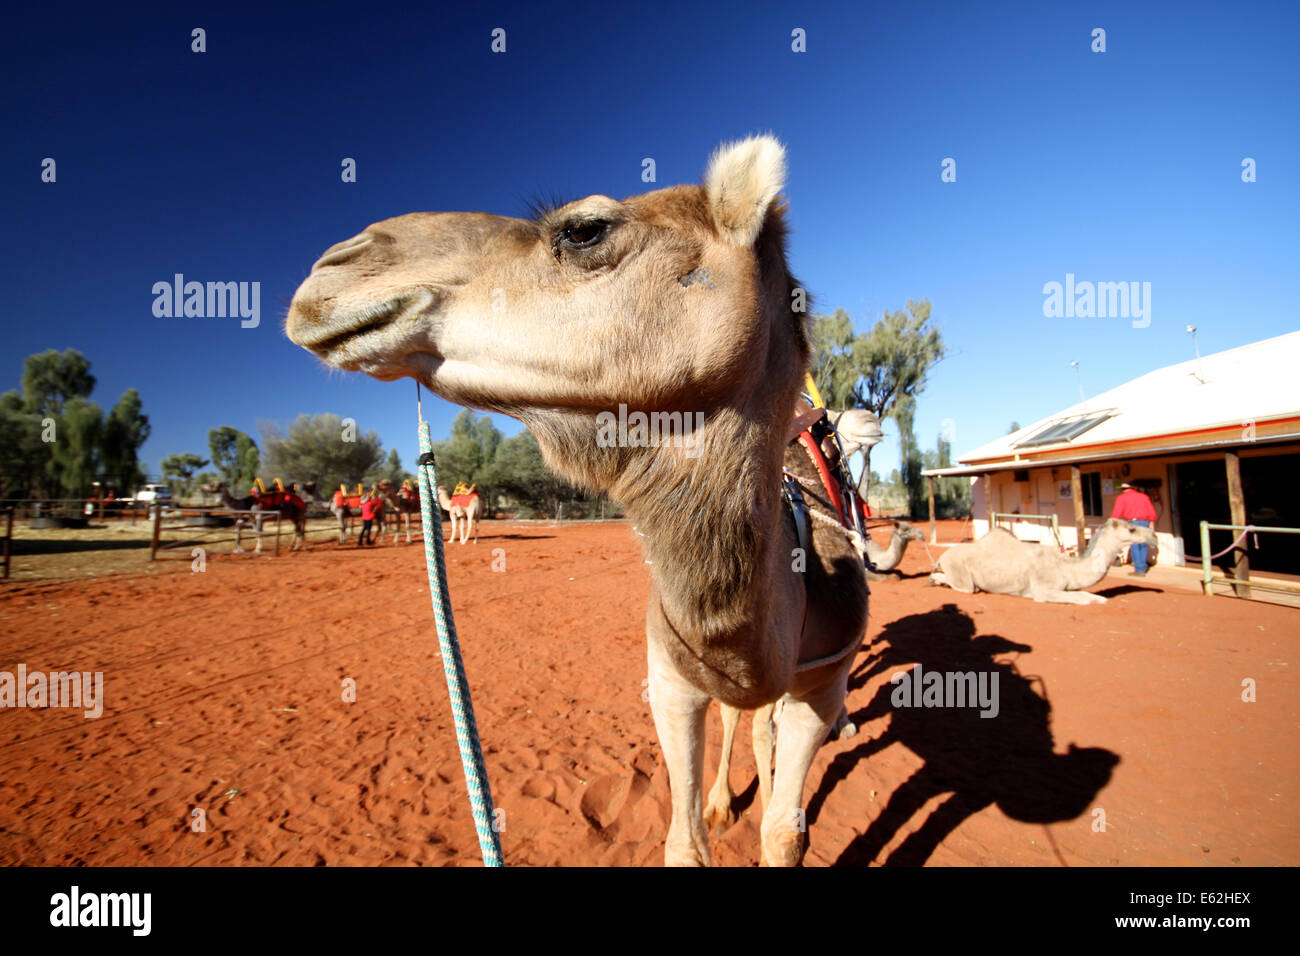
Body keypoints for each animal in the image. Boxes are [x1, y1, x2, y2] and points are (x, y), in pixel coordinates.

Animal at [286, 134, 869, 867]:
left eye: (585, 229)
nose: (335, 264)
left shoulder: (823, 683)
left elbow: (787, 830)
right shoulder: (670, 677)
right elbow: (684, 838)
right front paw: (710, 811)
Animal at [929, 518, 1157, 604]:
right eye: (1132, 529)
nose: (1154, 536)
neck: (1065, 567)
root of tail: (943, 555)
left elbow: (1093, 596)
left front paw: (1099, 599)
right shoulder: (1043, 590)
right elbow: (1080, 599)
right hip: (960, 575)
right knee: (966, 587)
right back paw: (934, 580)